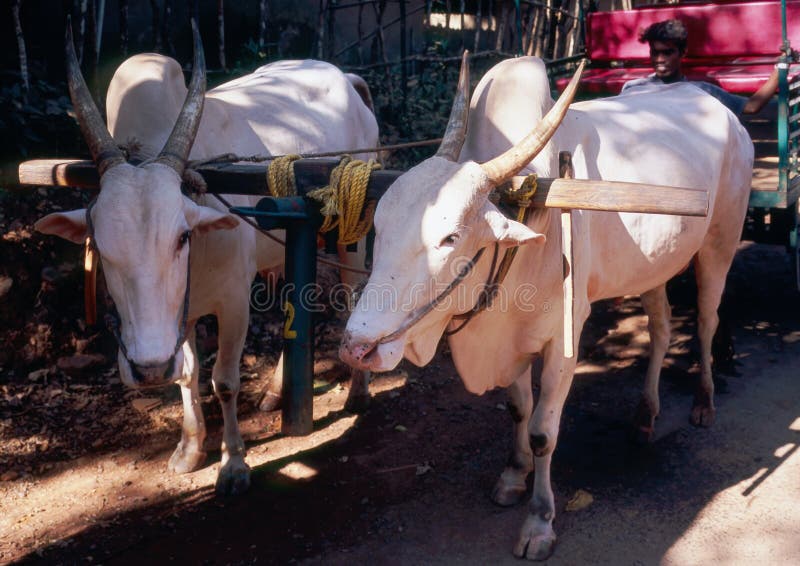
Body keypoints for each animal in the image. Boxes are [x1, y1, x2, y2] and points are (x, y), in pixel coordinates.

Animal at [35, 22, 379, 495]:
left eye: (182, 236)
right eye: (101, 247)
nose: (147, 368)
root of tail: (346, 76)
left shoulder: (232, 303)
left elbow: (225, 381)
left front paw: (233, 463)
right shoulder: (182, 315)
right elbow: (187, 374)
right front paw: (190, 449)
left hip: (353, 232)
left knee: (352, 297)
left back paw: (359, 391)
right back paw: (276, 392)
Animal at [340, 55, 753, 559]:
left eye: (450, 237)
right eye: (378, 225)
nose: (356, 348)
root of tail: (724, 111)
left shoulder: (564, 341)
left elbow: (542, 432)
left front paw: (539, 521)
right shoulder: (507, 335)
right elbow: (519, 408)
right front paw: (513, 477)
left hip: (720, 244)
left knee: (709, 321)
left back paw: (704, 401)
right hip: (655, 266)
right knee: (661, 329)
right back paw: (644, 415)